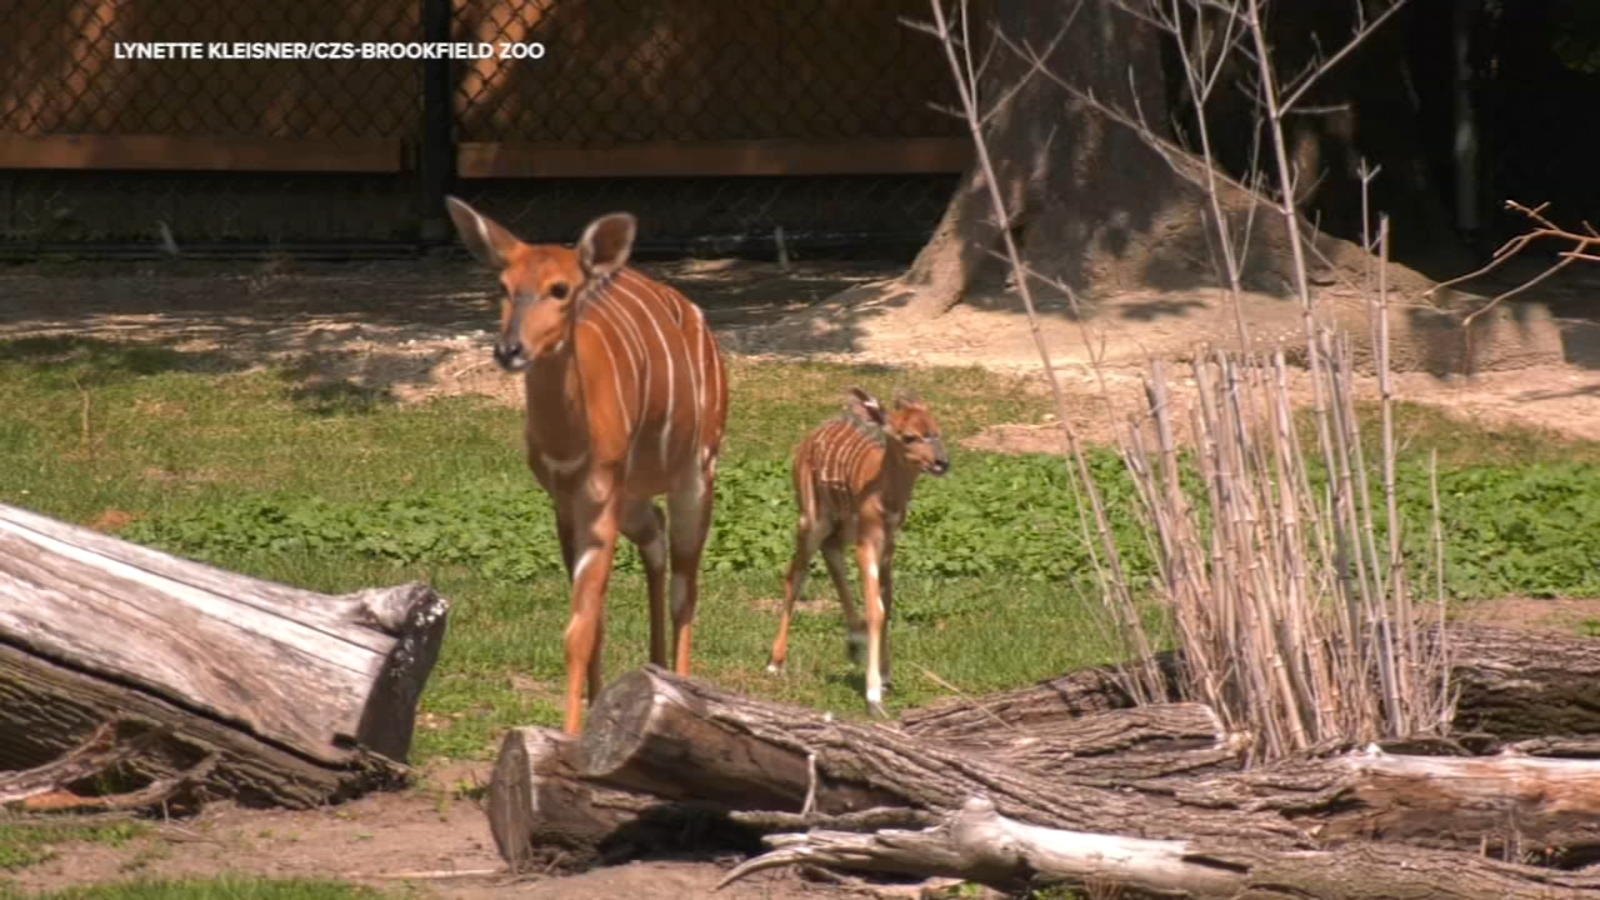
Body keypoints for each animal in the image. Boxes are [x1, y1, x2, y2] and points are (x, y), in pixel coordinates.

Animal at [444, 197, 729, 736]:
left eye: (560, 289)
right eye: (503, 287)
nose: (509, 349)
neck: (572, 437)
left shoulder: (599, 497)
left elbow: (579, 627)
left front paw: (573, 735)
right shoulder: (564, 501)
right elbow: (591, 620)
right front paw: (596, 712)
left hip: (697, 472)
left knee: (686, 584)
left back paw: (685, 687)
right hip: (634, 496)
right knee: (656, 538)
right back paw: (656, 668)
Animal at [765, 386, 950, 717]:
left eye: (936, 431)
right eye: (909, 437)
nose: (942, 462)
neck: (885, 497)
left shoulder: (888, 544)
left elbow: (886, 603)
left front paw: (886, 676)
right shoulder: (867, 542)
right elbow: (876, 609)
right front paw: (874, 696)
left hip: (841, 525)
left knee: (830, 551)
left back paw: (854, 642)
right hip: (812, 517)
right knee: (795, 574)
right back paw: (776, 662)